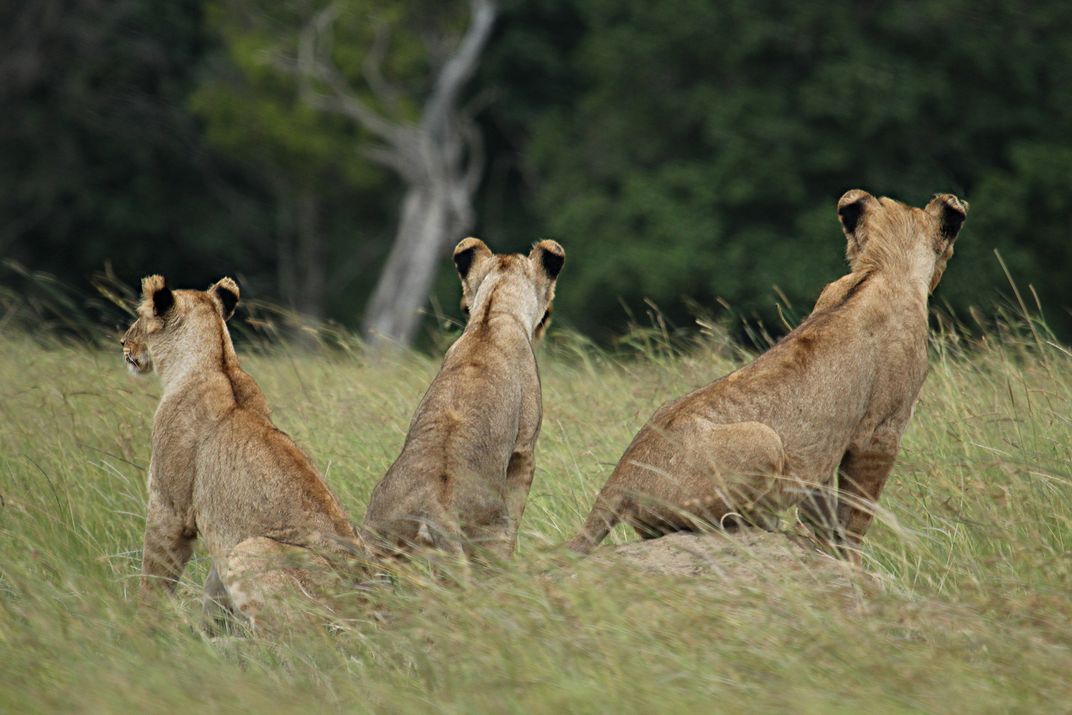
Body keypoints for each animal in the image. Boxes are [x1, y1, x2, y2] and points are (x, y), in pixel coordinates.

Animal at [123, 275, 365, 629]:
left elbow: (154, 576)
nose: (123, 343)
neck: (217, 362)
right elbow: (214, 590)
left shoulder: (169, 508)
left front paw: (142, 626)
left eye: (141, 316)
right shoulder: (220, 532)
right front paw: (205, 630)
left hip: (251, 548)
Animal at [361, 238, 565, 564]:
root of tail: (436, 507)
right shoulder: (524, 449)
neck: (492, 314)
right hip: (488, 533)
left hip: (375, 544)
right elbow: (518, 508)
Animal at [567, 190, 968, 563]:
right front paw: (852, 562)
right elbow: (857, 514)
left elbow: (823, 509)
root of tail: (621, 477)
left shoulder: (821, 454)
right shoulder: (881, 432)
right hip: (764, 439)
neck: (882, 265)